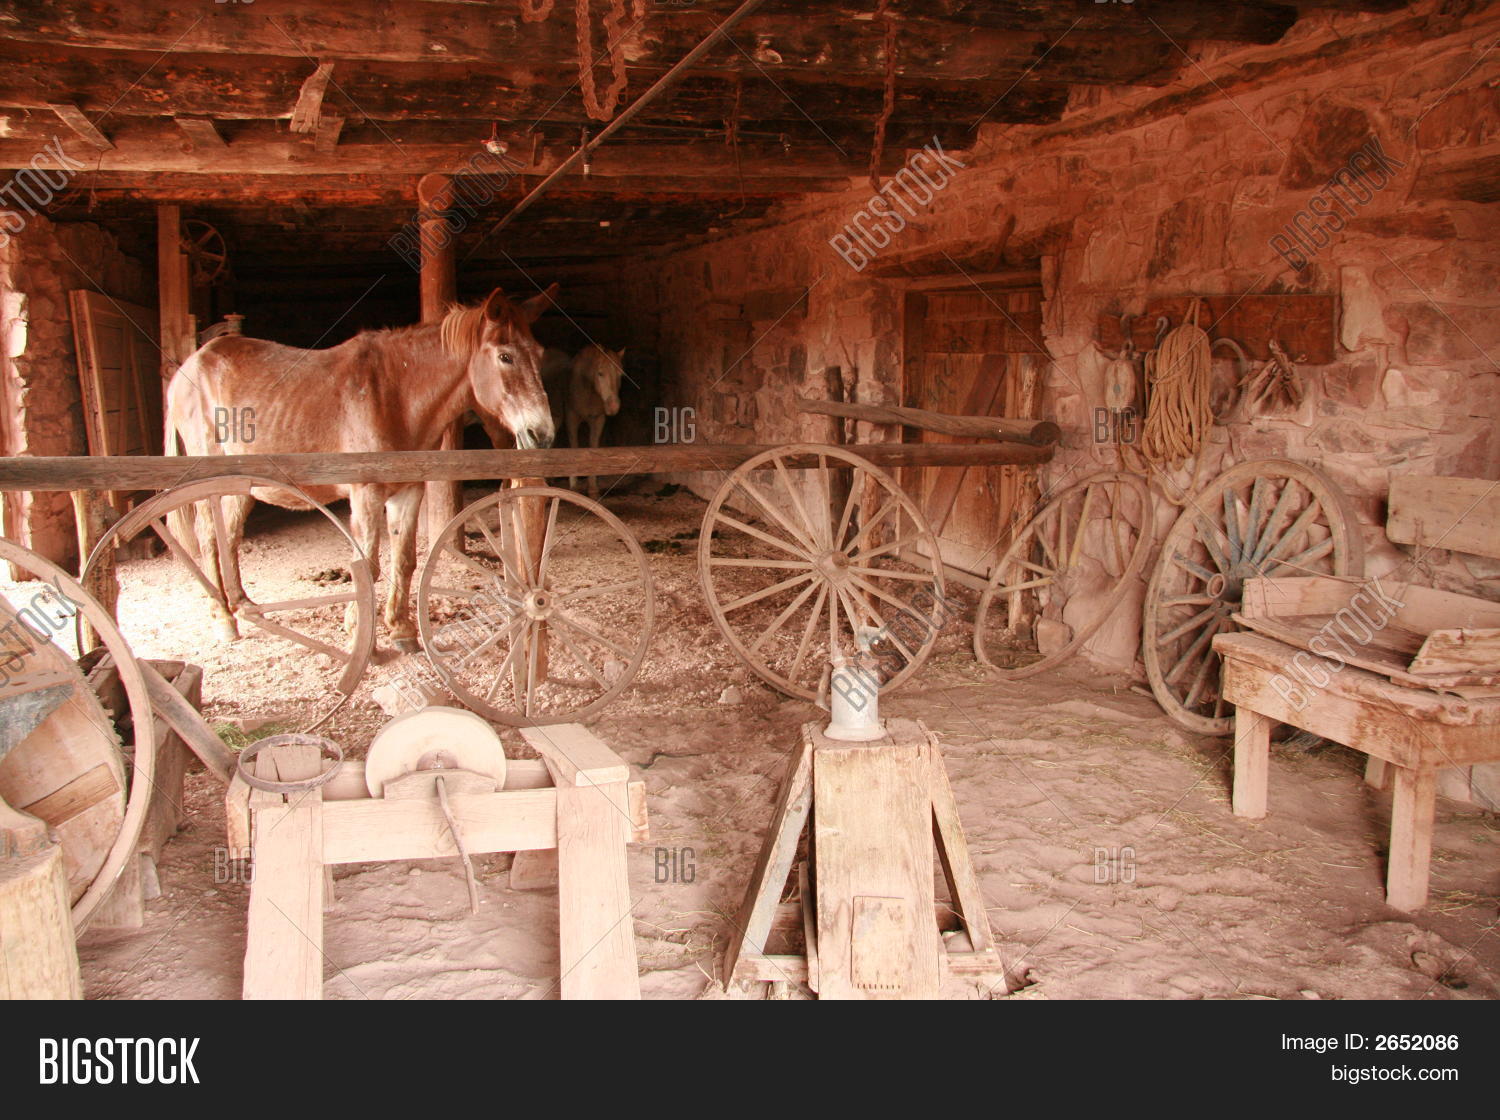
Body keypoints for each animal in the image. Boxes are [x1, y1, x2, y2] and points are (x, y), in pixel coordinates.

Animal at [164, 285, 558, 652]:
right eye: (505, 356)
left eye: (540, 354)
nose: (542, 435)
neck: (394, 396)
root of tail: (190, 365)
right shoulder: (366, 493)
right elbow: (368, 565)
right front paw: (359, 631)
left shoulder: (408, 492)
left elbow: (404, 560)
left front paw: (401, 630)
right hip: (209, 480)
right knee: (209, 537)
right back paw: (223, 617)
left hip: (239, 485)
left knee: (228, 536)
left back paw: (242, 605)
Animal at [563, 343, 625, 496]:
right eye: (600, 373)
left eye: (621, 375)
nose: (613, 406)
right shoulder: (571, 417)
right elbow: (573, 447)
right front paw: (574, 485)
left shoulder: (598, 420)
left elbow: (593, 446)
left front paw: (592, 487)